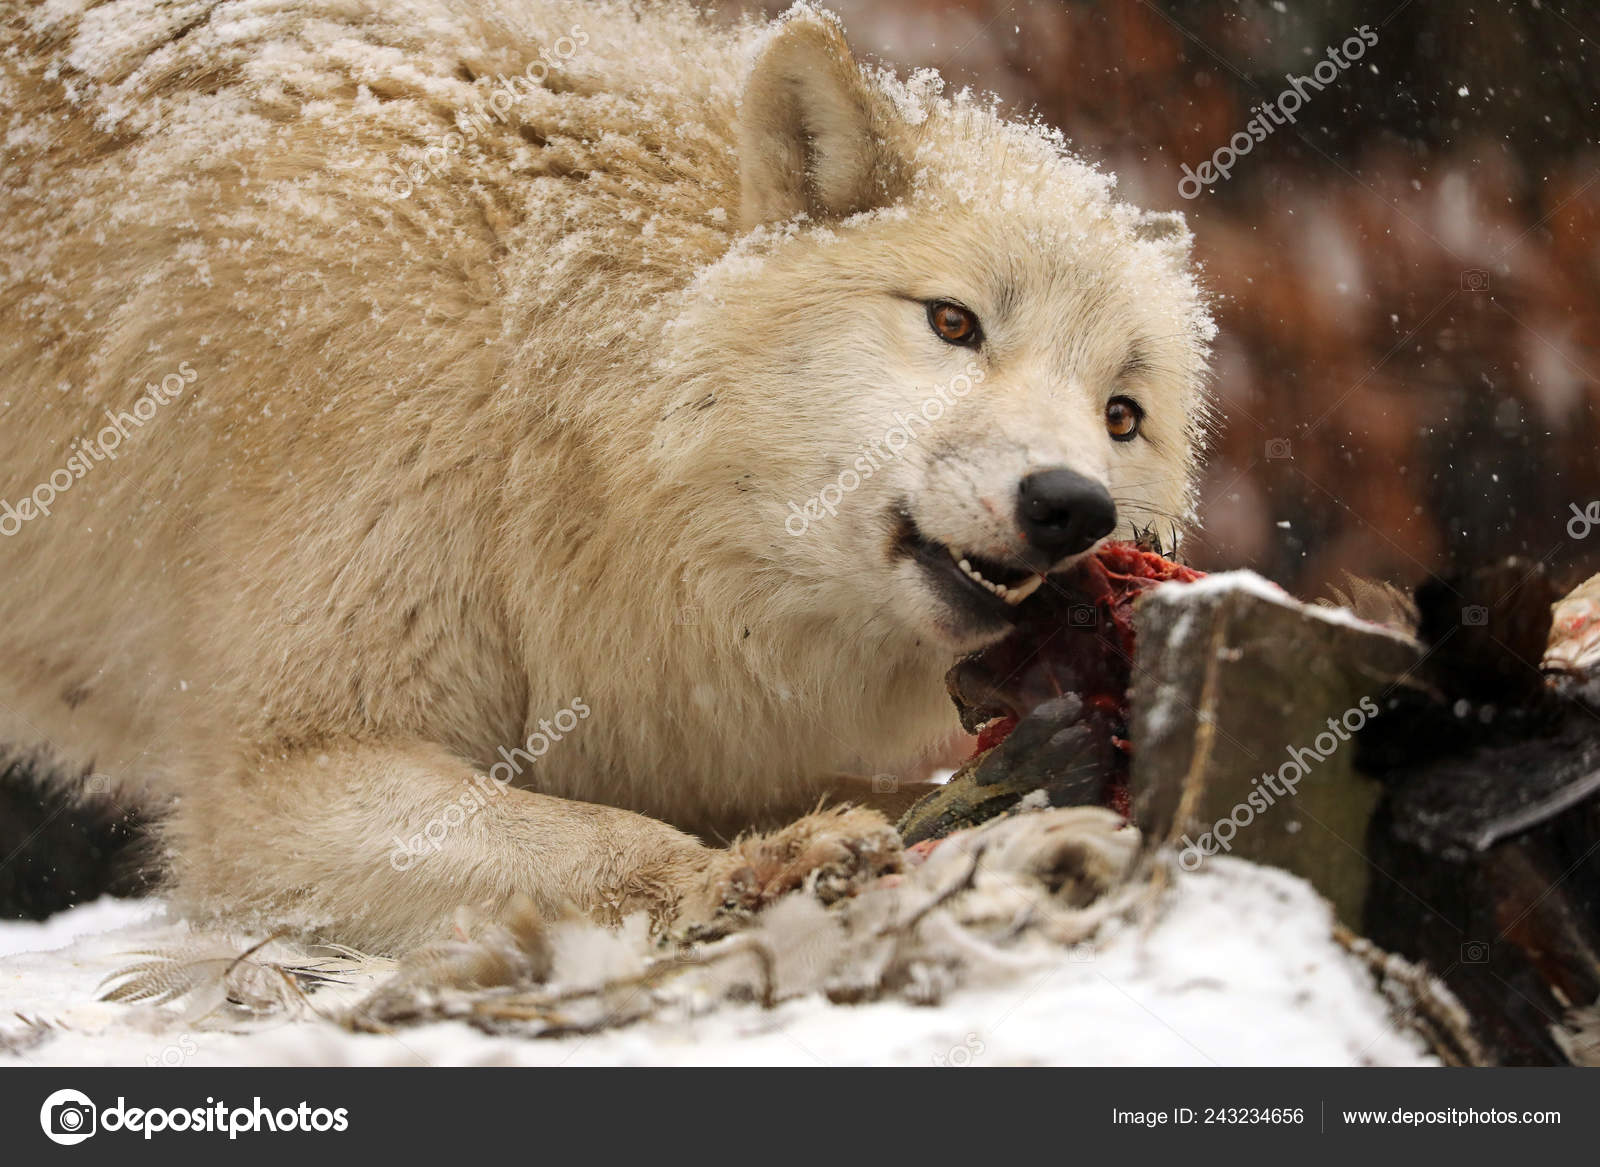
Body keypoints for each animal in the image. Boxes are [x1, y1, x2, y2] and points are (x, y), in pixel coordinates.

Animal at [0, 0, 1212, 952]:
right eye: (954, 322)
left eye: (1121, 415)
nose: (1070, 506)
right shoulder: (280, 773)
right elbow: (607, 844)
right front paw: (751, 876)